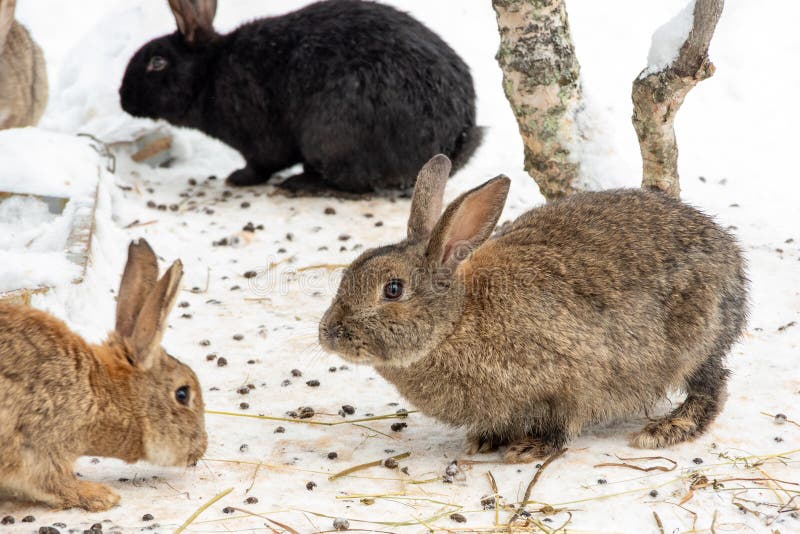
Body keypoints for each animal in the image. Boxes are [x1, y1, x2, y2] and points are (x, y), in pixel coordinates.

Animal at [0, 239, 207, 511]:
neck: (99, 392)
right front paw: (100, 496)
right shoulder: (40, 442)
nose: (201, 448)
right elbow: (51, 482)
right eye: (182, 394)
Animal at [119, 0, 480, 195]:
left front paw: (238, 178)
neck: (209, 71)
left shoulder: (258, 138)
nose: (123, 98)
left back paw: (299, 183)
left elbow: (263, 162)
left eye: (157, 62)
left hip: (330, 135)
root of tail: (451, 141)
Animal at [319, 155, 748, 462]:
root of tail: (732, 261)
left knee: (712, 383)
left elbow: (562, 422)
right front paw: (484, 442)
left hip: (692, 339)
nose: (328, 333)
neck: (455, 321)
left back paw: (667, 429)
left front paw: (529, 449)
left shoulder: (571, 376)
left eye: (392, 290)